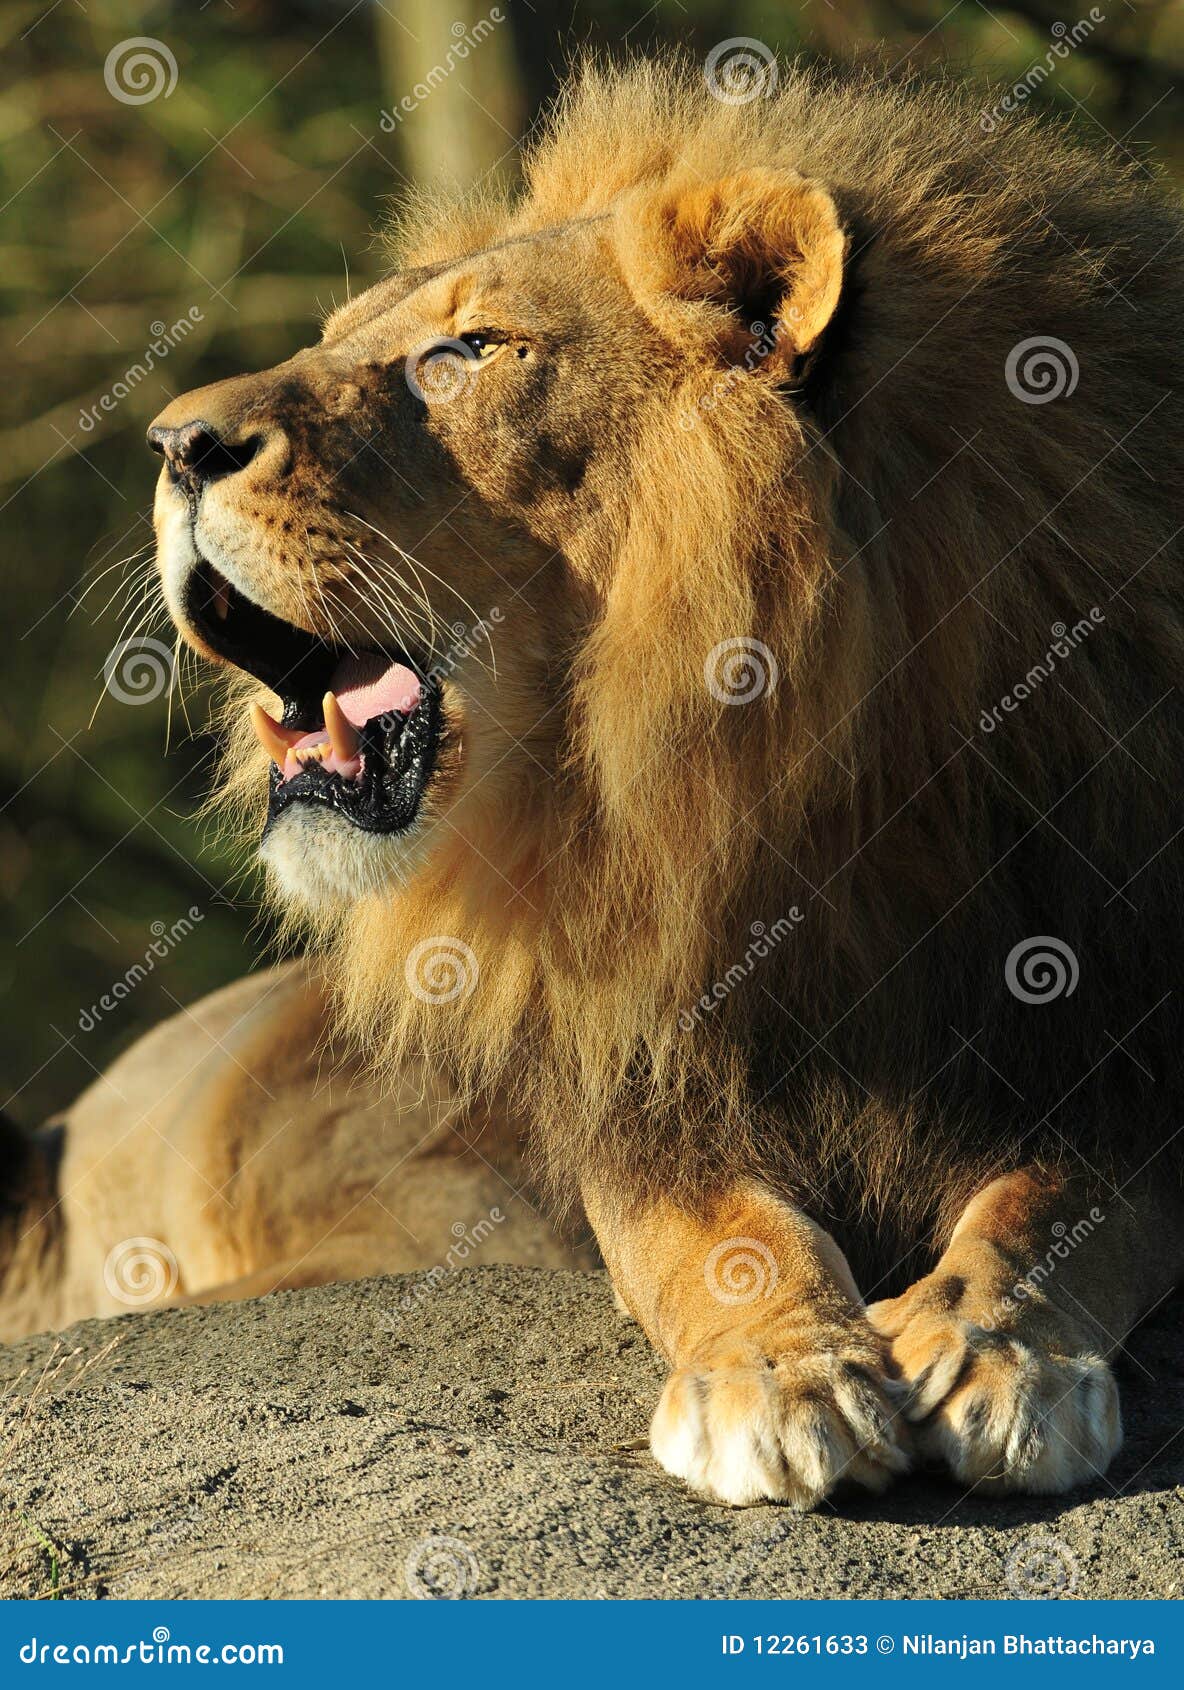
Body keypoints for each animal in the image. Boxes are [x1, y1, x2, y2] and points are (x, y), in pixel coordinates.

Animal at [139, 54, 1184, 1509]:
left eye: (468, 350)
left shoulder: (1123, 1025)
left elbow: (1074, 1205)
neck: (813, 789)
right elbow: (710, 1229)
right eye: (342, 335)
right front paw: (782, 1373)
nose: (173, 443)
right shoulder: (642, 1074)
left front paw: (997, 1349)